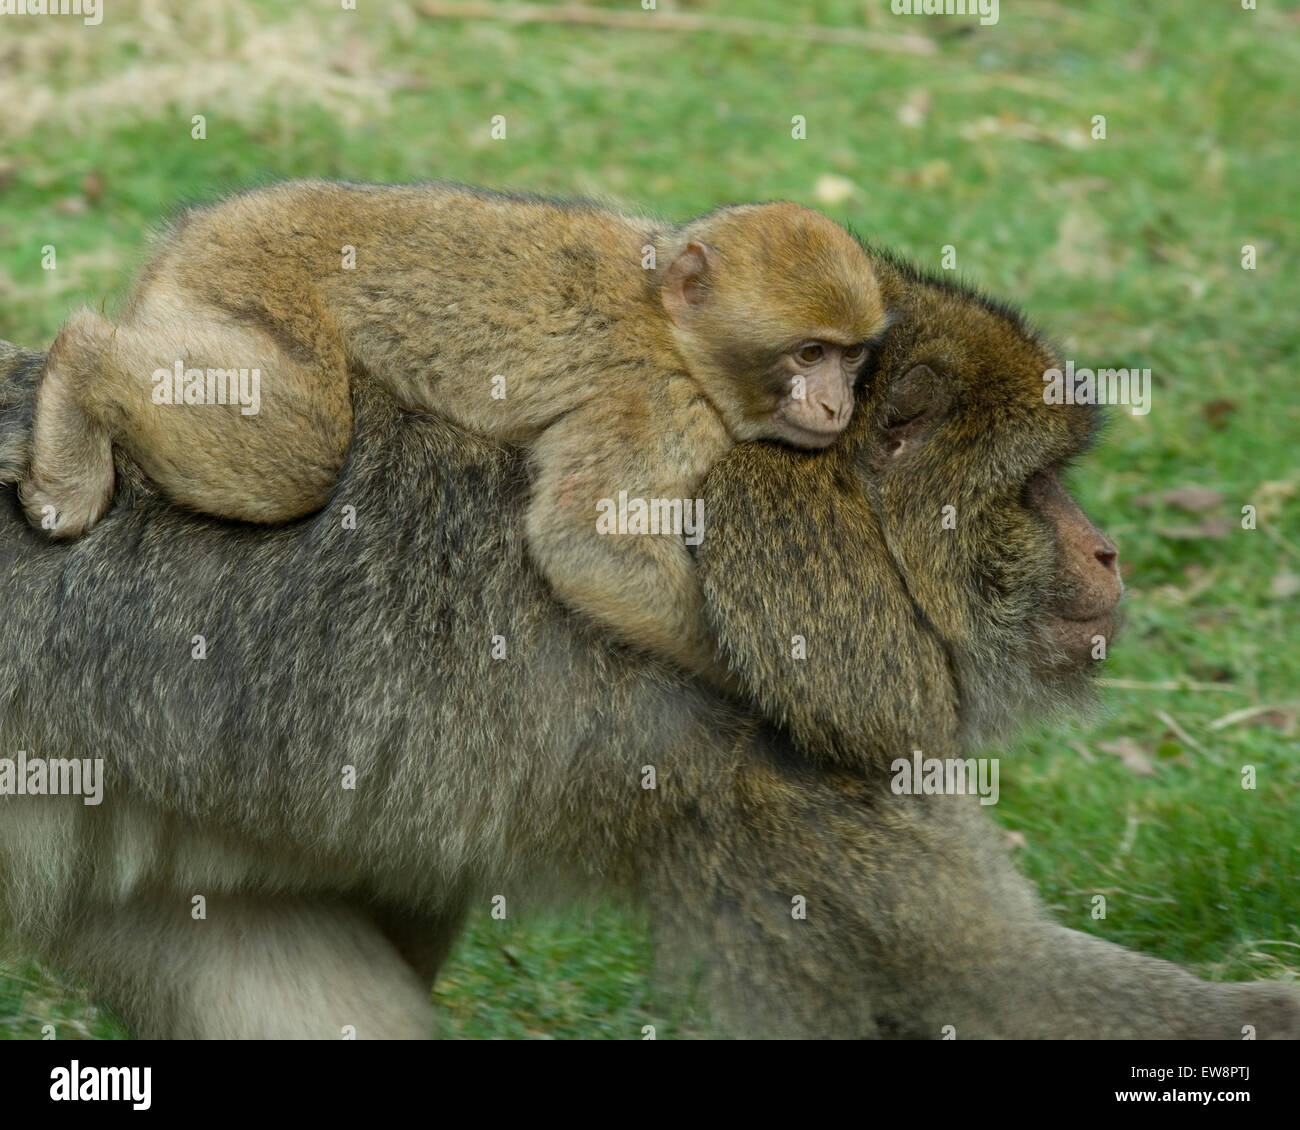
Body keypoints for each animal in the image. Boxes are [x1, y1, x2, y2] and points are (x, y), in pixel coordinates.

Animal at [18, 182, 887, 681]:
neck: (678, 331)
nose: (836, 406)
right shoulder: (658, 404)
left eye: (850, 357)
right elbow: (586, 541)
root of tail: (186, 237)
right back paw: (81, 368)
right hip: (244, 282)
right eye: (808, 353)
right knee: (301, 452)